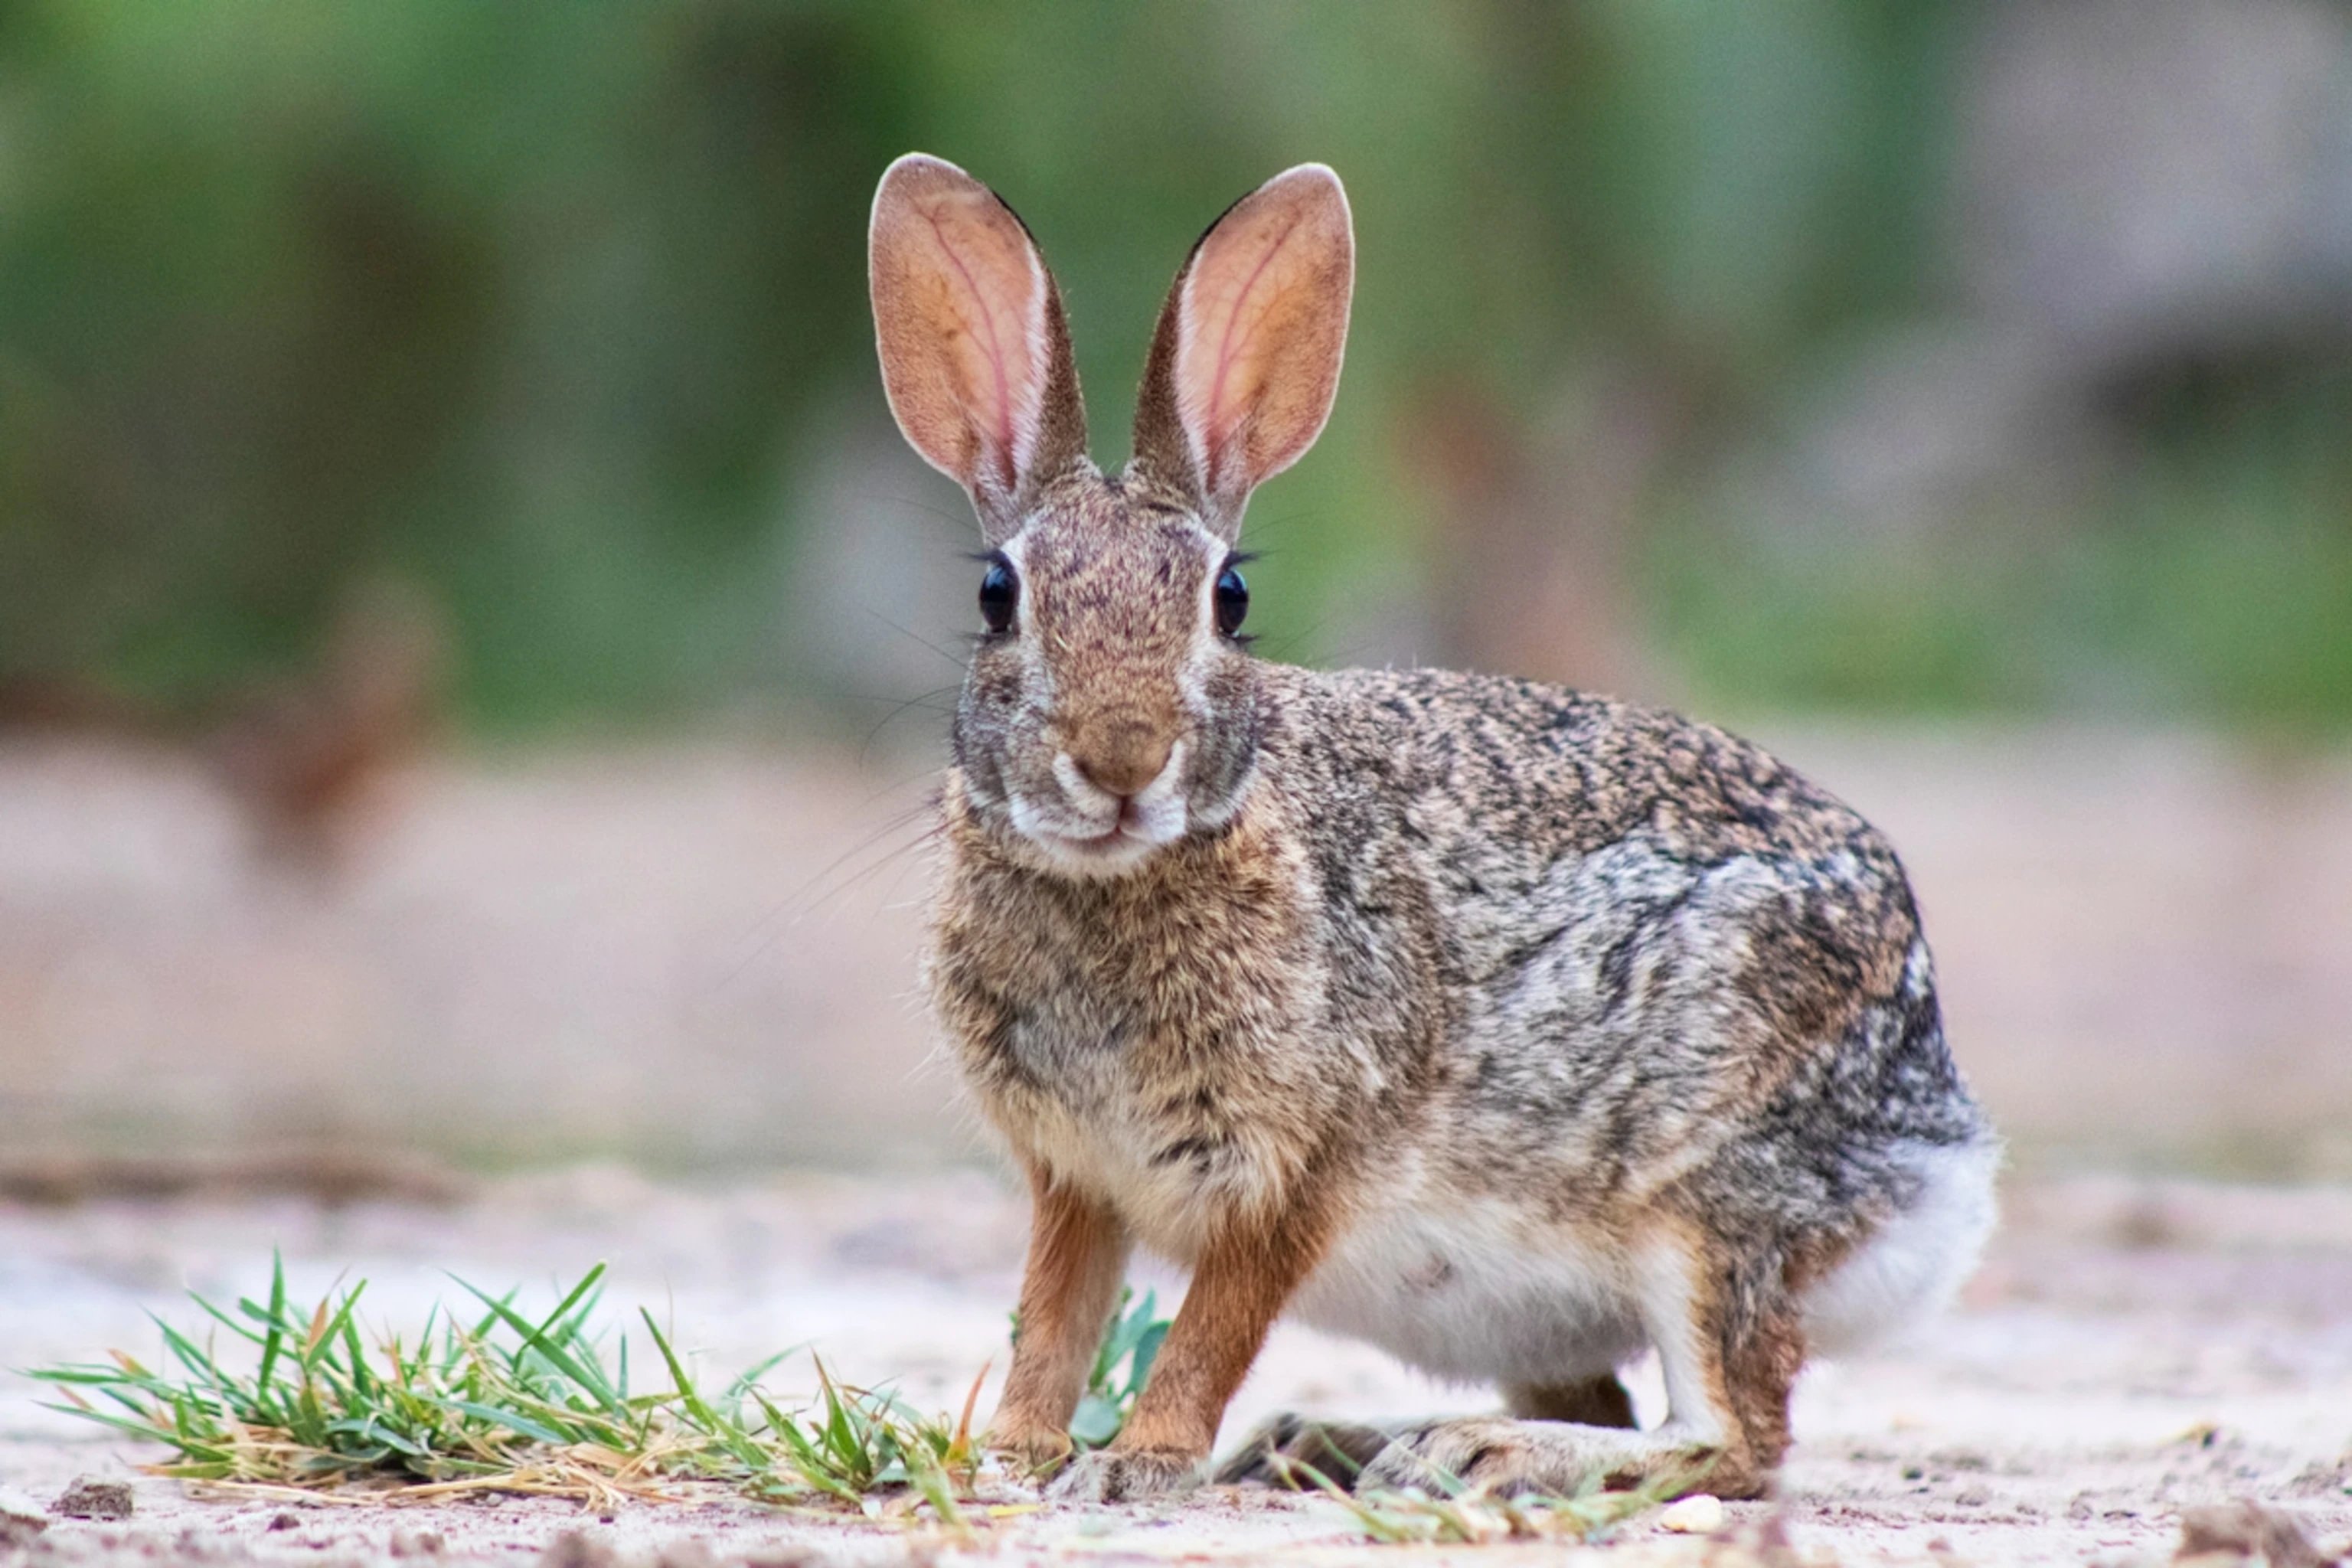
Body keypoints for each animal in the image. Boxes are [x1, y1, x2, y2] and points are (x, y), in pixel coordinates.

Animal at [866, 153, 1998, 1505]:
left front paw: (1142, 1467)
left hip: (1704, 1197)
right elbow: (1055, 1315)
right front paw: (1018, 1454)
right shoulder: (1078, 1179)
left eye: (1228, 599)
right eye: (998, 595)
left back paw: (1477, 1451)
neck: (1131, 874)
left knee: (1731, 1439)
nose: (1122, 760)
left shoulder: (1300, 1169)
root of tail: (1942, 1146)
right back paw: (1336, 1444)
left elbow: (1211, 1330)